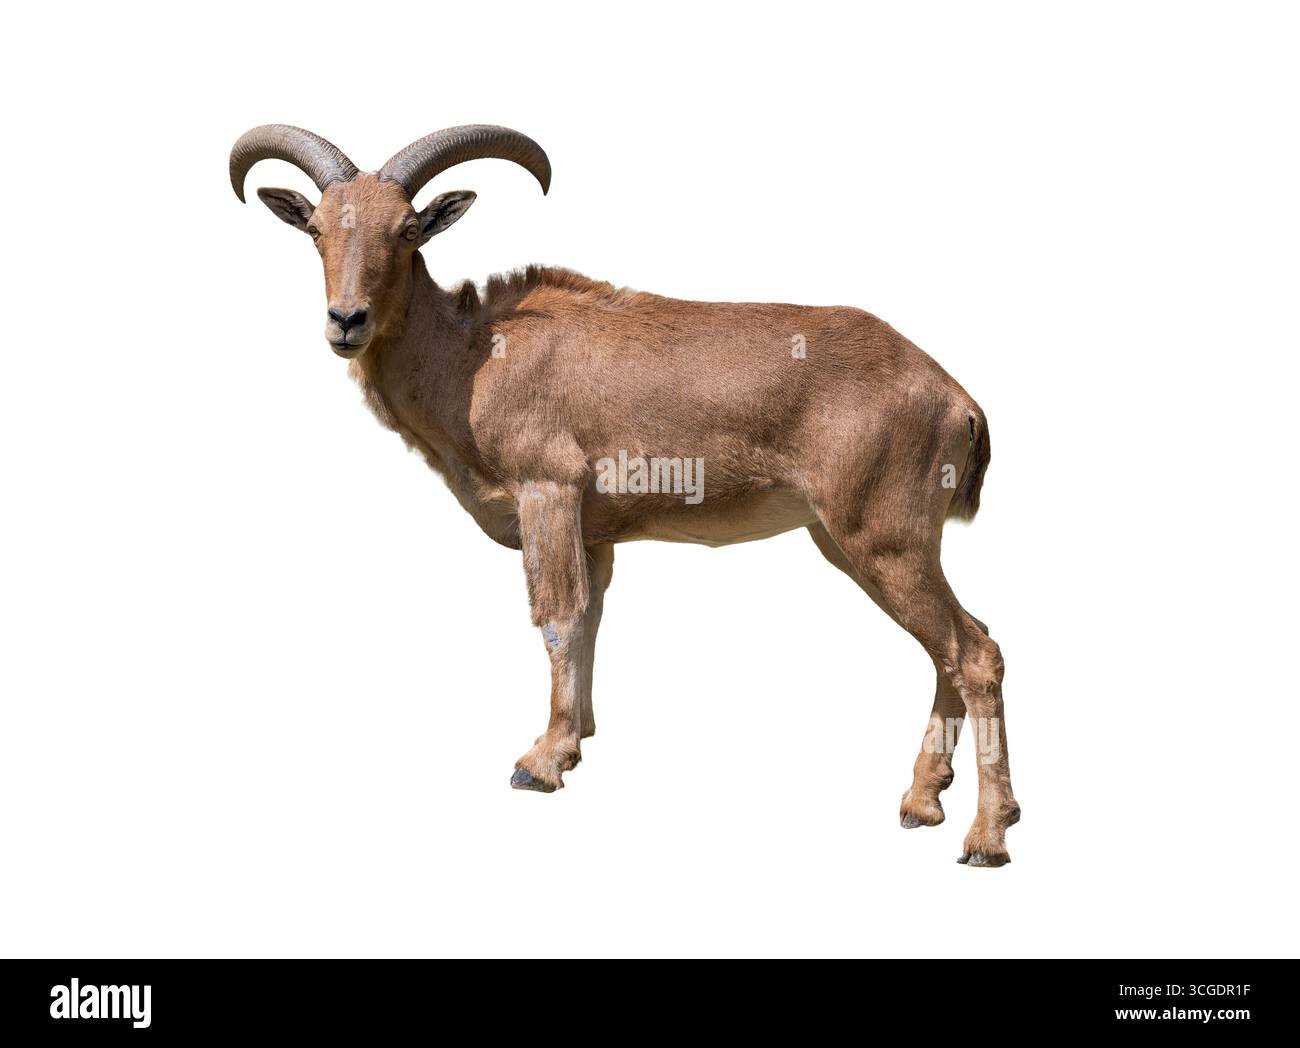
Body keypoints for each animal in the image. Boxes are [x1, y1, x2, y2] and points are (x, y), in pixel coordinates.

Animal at [230, 124, 1020, 866]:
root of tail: (957, 400)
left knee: (975, 651)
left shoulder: (547, 491)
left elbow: (556, 617)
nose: (346, 321)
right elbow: (592, 618)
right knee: (951, 647)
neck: (474, 358)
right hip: (863, 540)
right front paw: (577, 738)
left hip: (881, 537)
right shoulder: (597, 531)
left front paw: (540, 762)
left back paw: (987, 836)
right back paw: (921, 801)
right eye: (317, 228)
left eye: (407, 228)